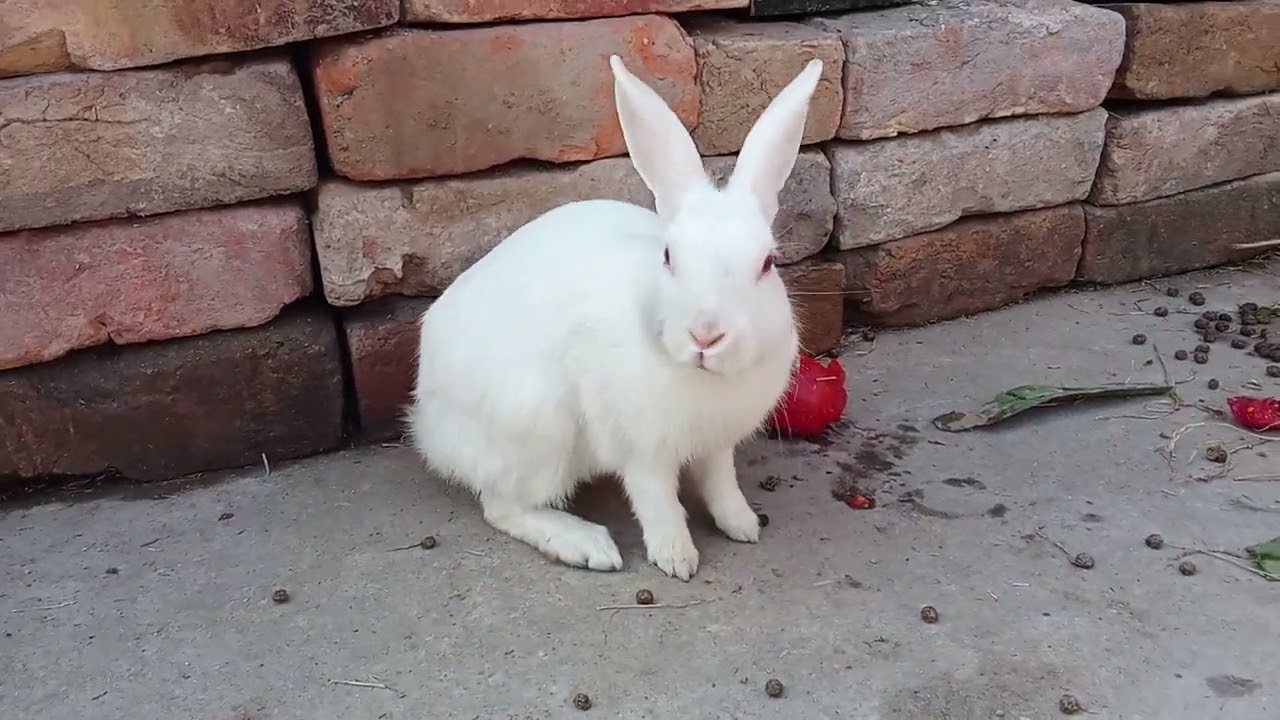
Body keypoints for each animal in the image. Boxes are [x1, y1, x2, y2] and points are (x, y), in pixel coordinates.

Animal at [406, 54, 826, 581]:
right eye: (668, 257)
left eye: (767, 263)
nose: (705, 335)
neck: (698, 376)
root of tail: (428, 423)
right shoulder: (640, 449)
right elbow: (656, 499)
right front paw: (676, 558)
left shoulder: (716, 445)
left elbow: (720, 481)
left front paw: (742, 524)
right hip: (536, 426)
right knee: (502, 505)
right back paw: (585, 544)